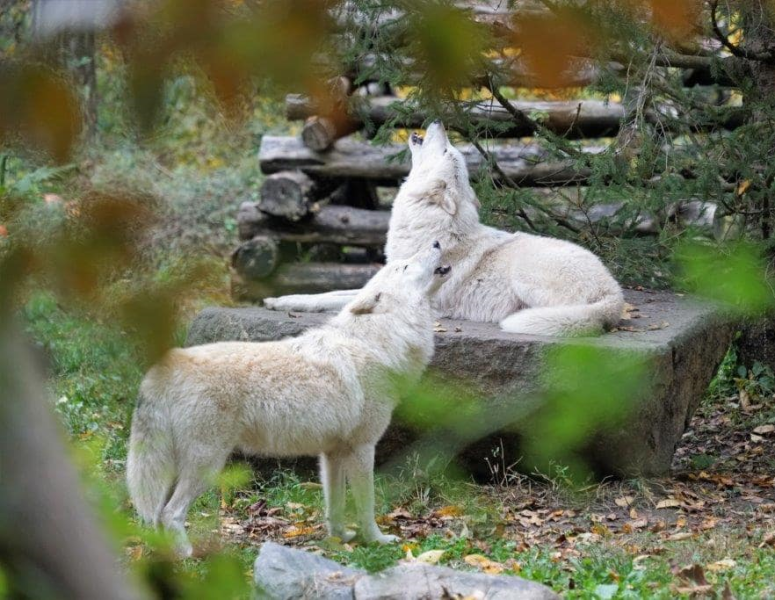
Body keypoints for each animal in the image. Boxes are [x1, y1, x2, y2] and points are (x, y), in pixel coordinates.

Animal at [126, 244, 451, 556]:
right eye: (404, 266)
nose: (437, 242)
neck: (377, 340)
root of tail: (161, 370)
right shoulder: (362, 448)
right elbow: (366, 506)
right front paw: (378, 540)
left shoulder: (332, 453)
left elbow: (335, 504)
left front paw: (340, 538)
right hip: (206, 463)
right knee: (169, 513)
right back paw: (186, 554)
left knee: (155, 514)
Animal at [266, 122, 624, 337]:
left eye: (446, 149)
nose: (439, 121)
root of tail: (615, 295)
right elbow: (323, 294)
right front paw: (280, 300)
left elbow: (342, 300)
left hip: (527, 273)